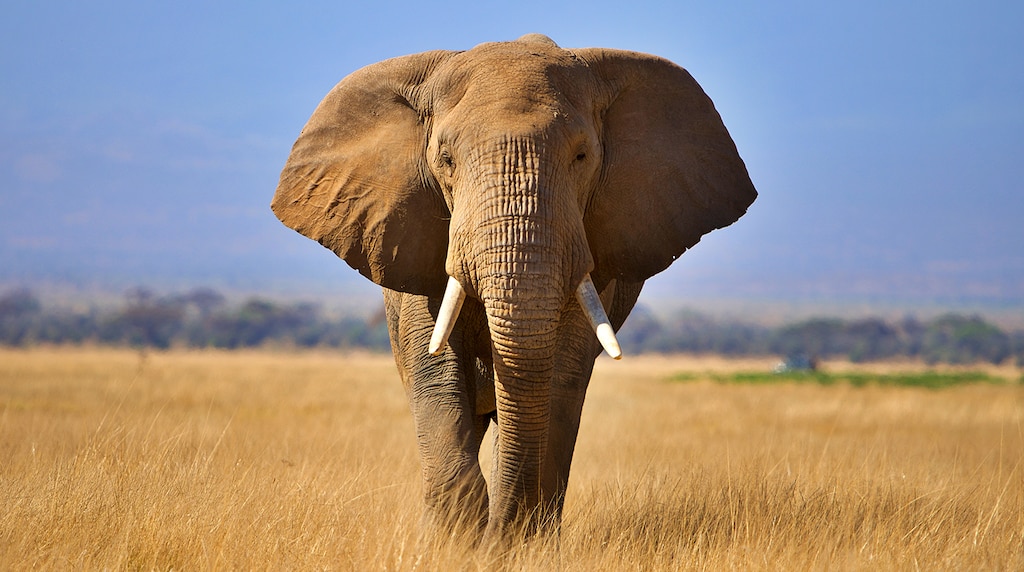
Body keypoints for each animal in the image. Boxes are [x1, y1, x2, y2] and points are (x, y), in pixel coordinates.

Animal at [271, 34, 756, 541]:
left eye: (582, 157)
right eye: (446, 160)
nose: (497, 538)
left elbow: (560, 374)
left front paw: (518, 543)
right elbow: (436, 369)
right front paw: (452, 542)